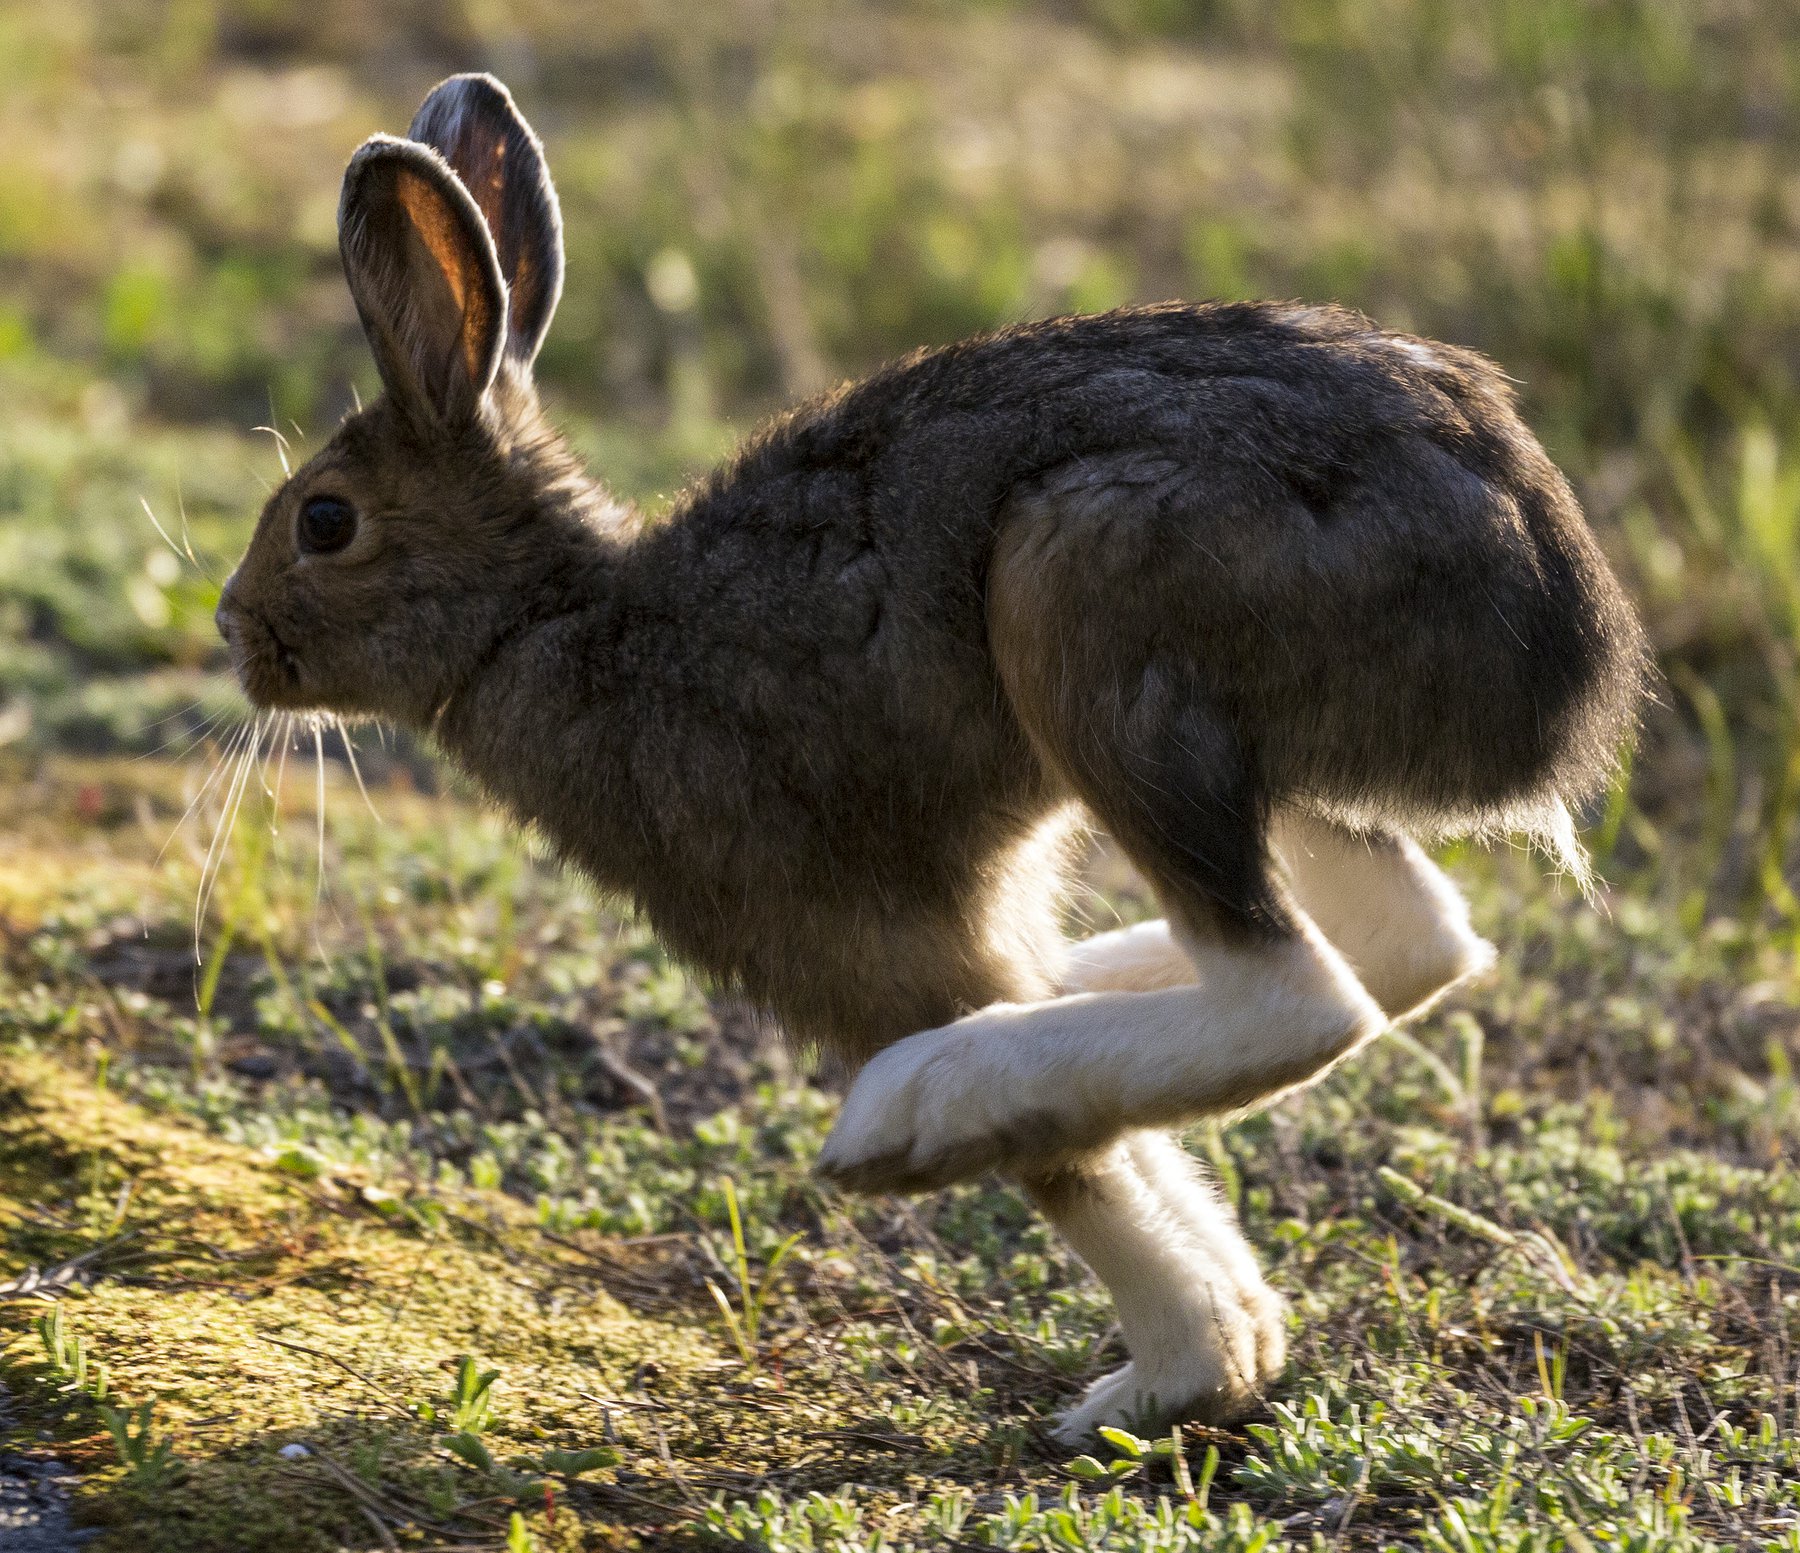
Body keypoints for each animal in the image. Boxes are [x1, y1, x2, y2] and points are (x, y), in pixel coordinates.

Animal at [214, 73, 1649, 1442]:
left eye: (324, 522)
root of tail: (1564, 633)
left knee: (1299, 992)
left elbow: (1076, 1173)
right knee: (1410, 940)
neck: (547, 617)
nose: (231, 629)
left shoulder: (849, 938)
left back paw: (924, 1106)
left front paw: (1175, 1375)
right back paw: (1071, 993)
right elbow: (1127, 1159)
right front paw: (1227, 1352)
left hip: (1080, 595)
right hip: (1246, 744)